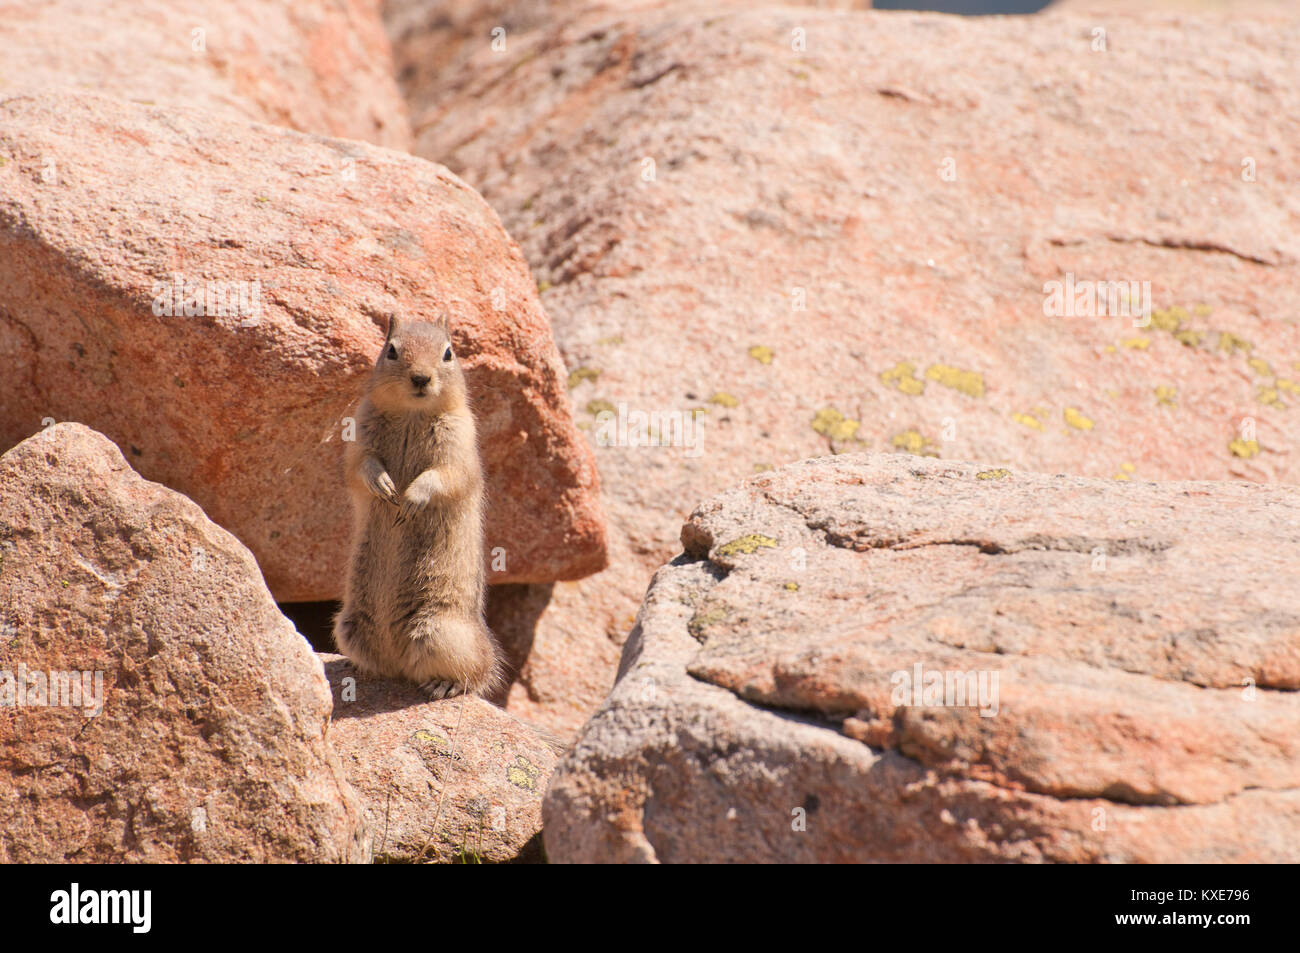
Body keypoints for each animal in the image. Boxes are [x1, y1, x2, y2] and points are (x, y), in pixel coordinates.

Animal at [333, 312, 502, 700]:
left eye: (449, 353)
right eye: (392, 351)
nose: (421, 378)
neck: (412, 414)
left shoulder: (458, 446)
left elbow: (442, 476)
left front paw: (409, 499)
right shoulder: (359, 438)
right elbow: (360, 467)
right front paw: (383, 485)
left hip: (439, 632)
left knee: (475, 674)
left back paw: (444, 684)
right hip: (348, 625)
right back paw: (362, 667)